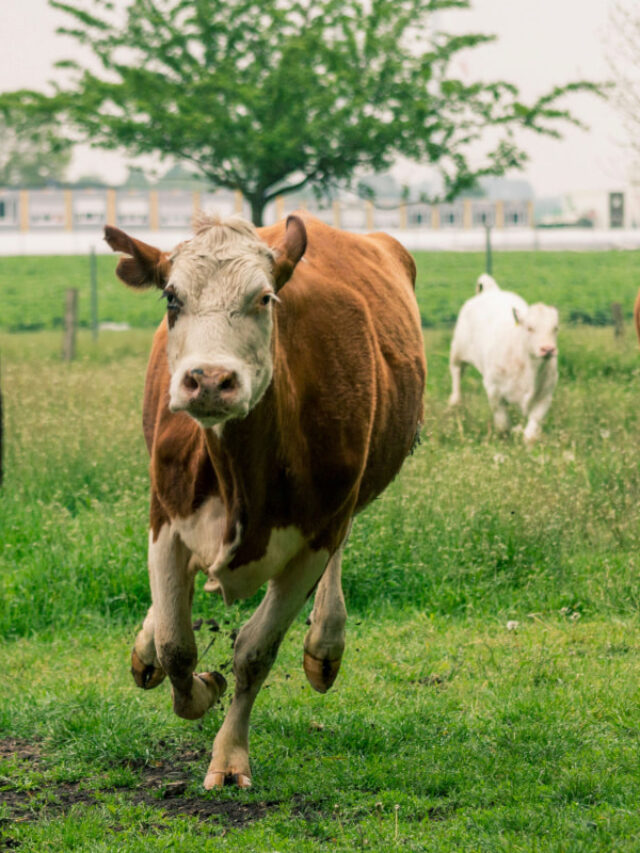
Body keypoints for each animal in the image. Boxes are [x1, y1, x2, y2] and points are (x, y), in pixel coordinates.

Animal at [104, 212, 426, 789]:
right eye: (171, 297)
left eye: (264, 298)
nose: (210, 380)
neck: (238, 479)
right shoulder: (165, 519)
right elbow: (176, 644)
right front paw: (197, 681)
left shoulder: (316, 536)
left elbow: (254, 652)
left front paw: (230, 756)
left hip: (348, 499)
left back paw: (325, 645)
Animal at [448, 274, 559, 445]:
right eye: (529, 328)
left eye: (555, 328)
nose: (547, 349)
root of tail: (492, 291)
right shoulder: (494, 390)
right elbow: (503, 424)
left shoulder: (545, 396)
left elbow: (531, 432)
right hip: (458, 350)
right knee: (457, 371)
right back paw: (455, 401)